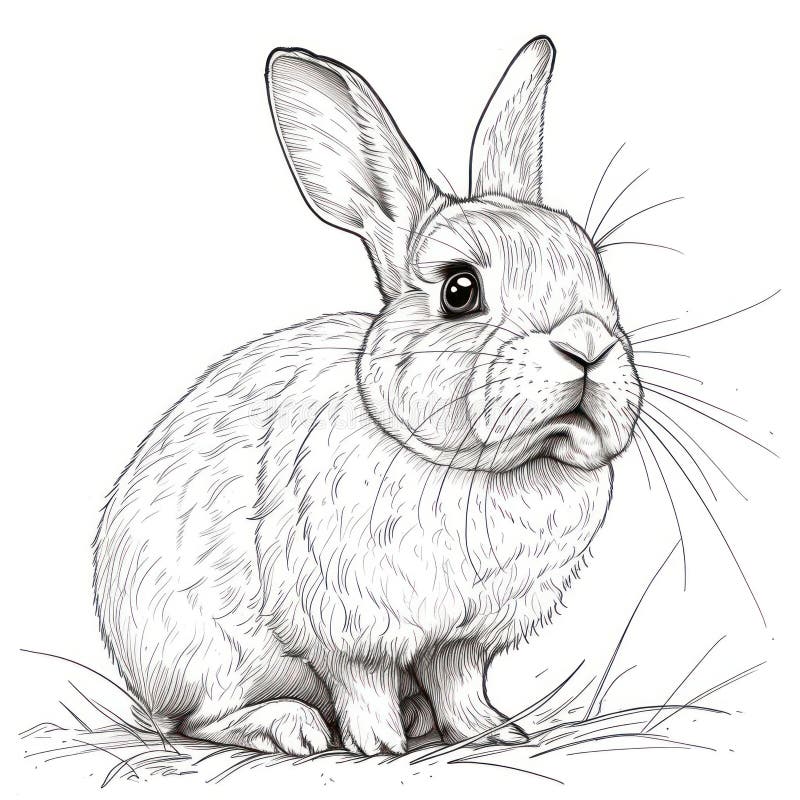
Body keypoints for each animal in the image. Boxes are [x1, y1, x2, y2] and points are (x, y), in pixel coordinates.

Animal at [93, 35, 643, 757]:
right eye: (459, 290)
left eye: (596, 270)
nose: (587, 344)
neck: (476, 467)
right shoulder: (343, 625)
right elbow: (362, 681)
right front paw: (379, 744)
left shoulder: (463, 638)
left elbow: (460, 682)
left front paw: (496, 733)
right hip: (205, 652)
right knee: (196, 720)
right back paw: (296, 727)